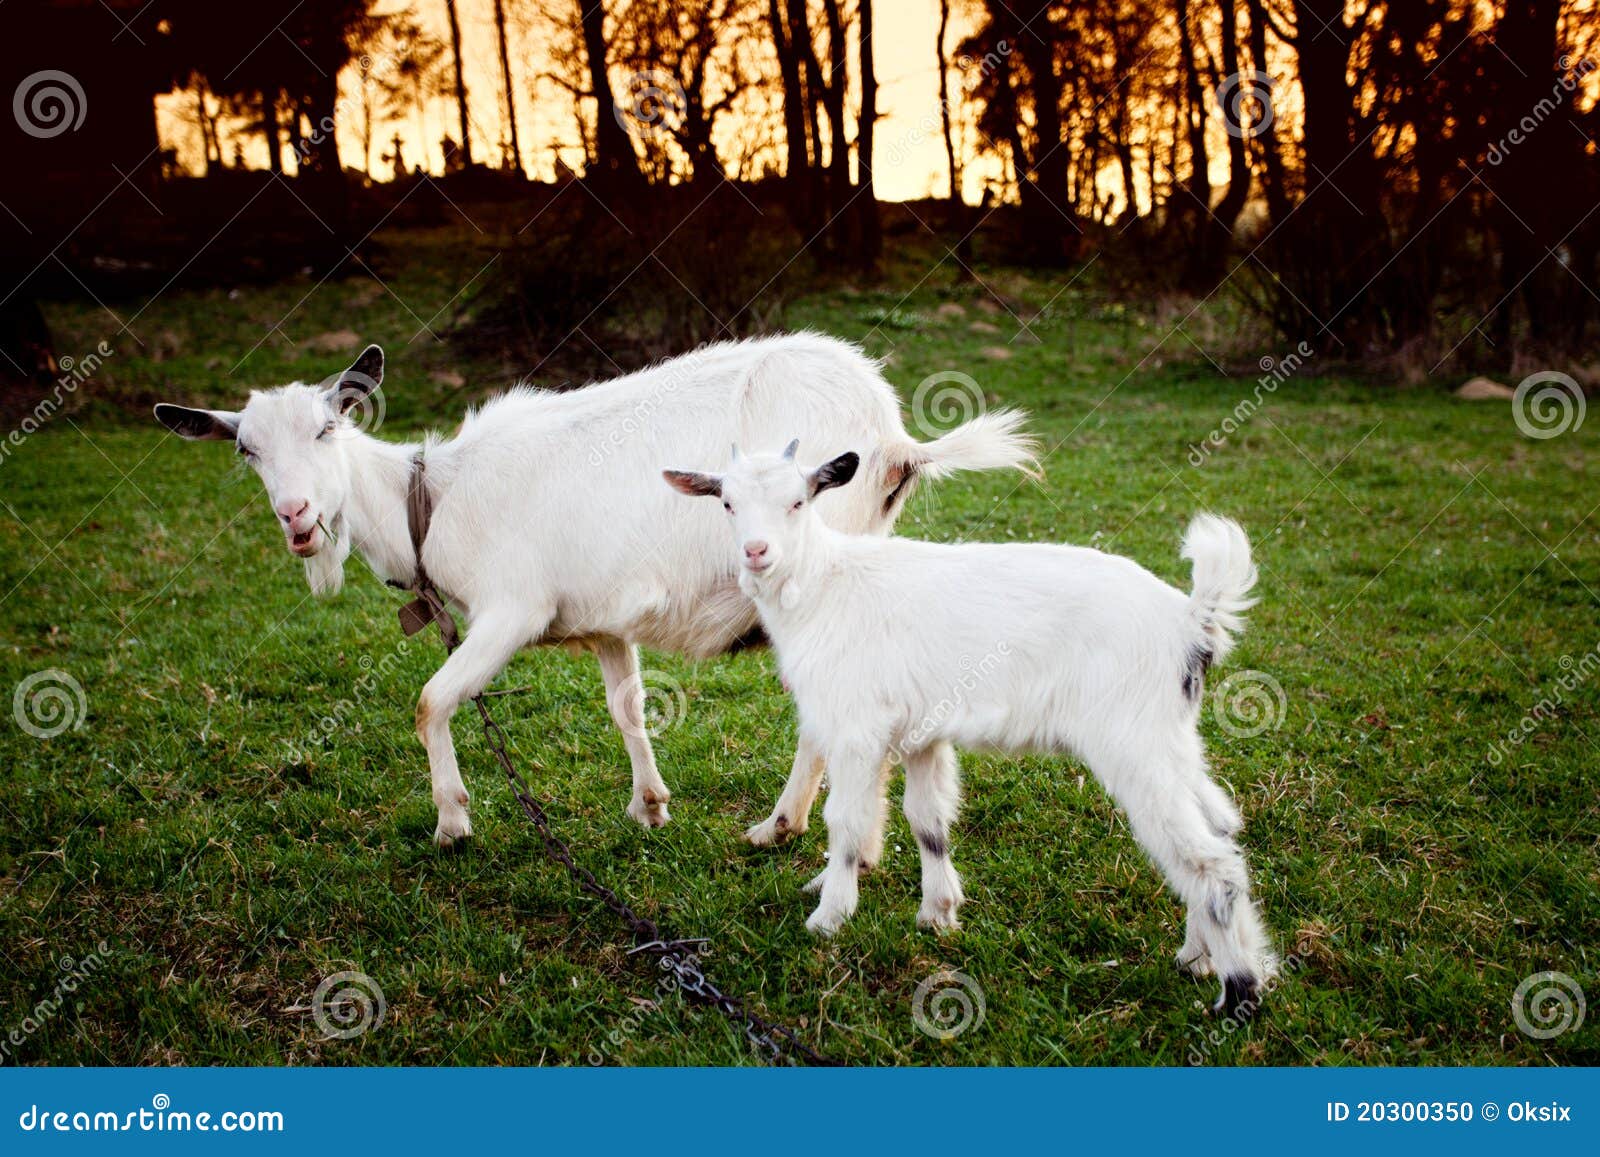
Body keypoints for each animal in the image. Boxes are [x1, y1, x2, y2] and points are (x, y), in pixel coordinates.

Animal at [153, 335, 1037, 847]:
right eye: (245, 450)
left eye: (328, 428)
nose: (297, 517)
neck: (427, 500)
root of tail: (895, 438)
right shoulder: (607, 618)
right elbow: (628, 706)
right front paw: (649, 805)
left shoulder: (512, 610)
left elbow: (431, 701)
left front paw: (453, 820)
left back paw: (779, 824)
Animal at [664, 442, 1276, 1015]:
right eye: (727, 503)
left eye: (798, 502)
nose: (756, 552)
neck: (823, 586)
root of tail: (1192, 623)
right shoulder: (920, 731)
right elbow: (927, 819)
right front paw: (938, 913)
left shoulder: (857, 727)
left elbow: (847, 821)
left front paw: (829, 917)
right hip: (1172, 740)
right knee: (1219, 827)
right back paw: (1197, 957)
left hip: (1134, 742)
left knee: (1207, 859)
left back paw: (1237, 995)